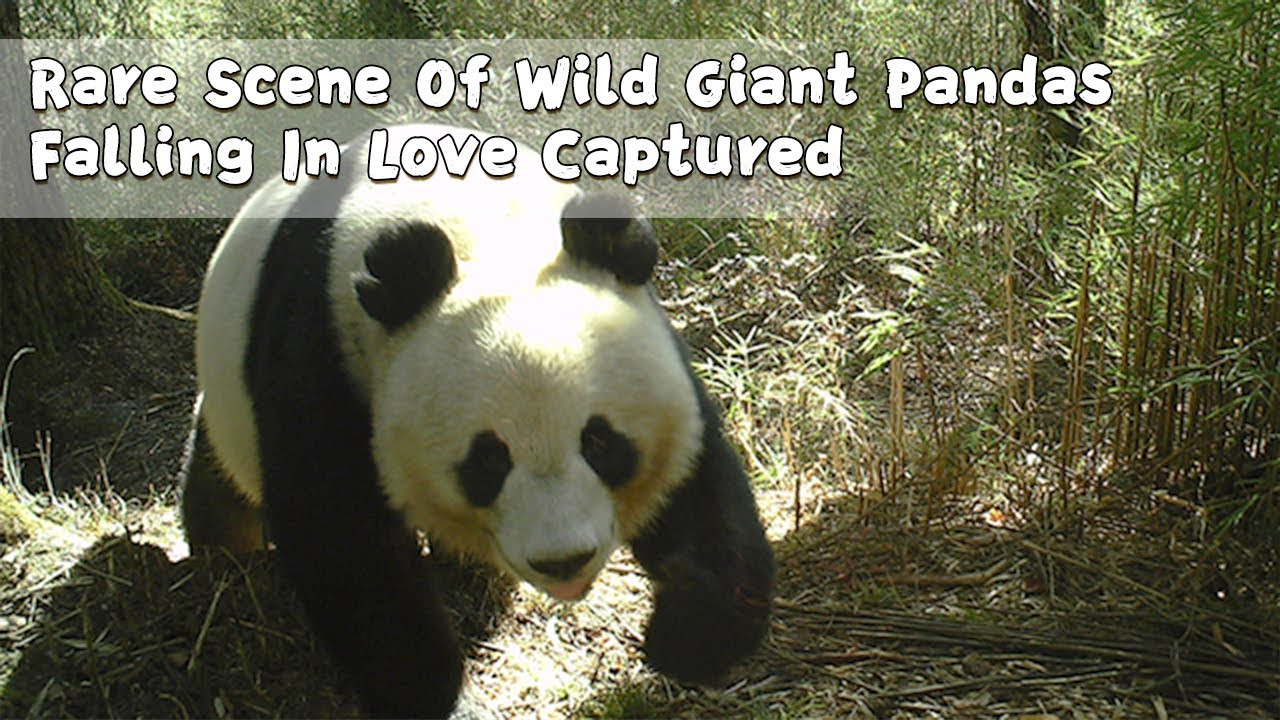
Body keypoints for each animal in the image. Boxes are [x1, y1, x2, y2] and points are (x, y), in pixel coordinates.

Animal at [179, 124, 775, 718]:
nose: (564, 561)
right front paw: (430, 693)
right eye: (488, 459)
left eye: (601, 443)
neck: (480, 230)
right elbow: (344, 538)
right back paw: (222, 546)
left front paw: (686, 636)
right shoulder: (324, 348)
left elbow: (695, 483)